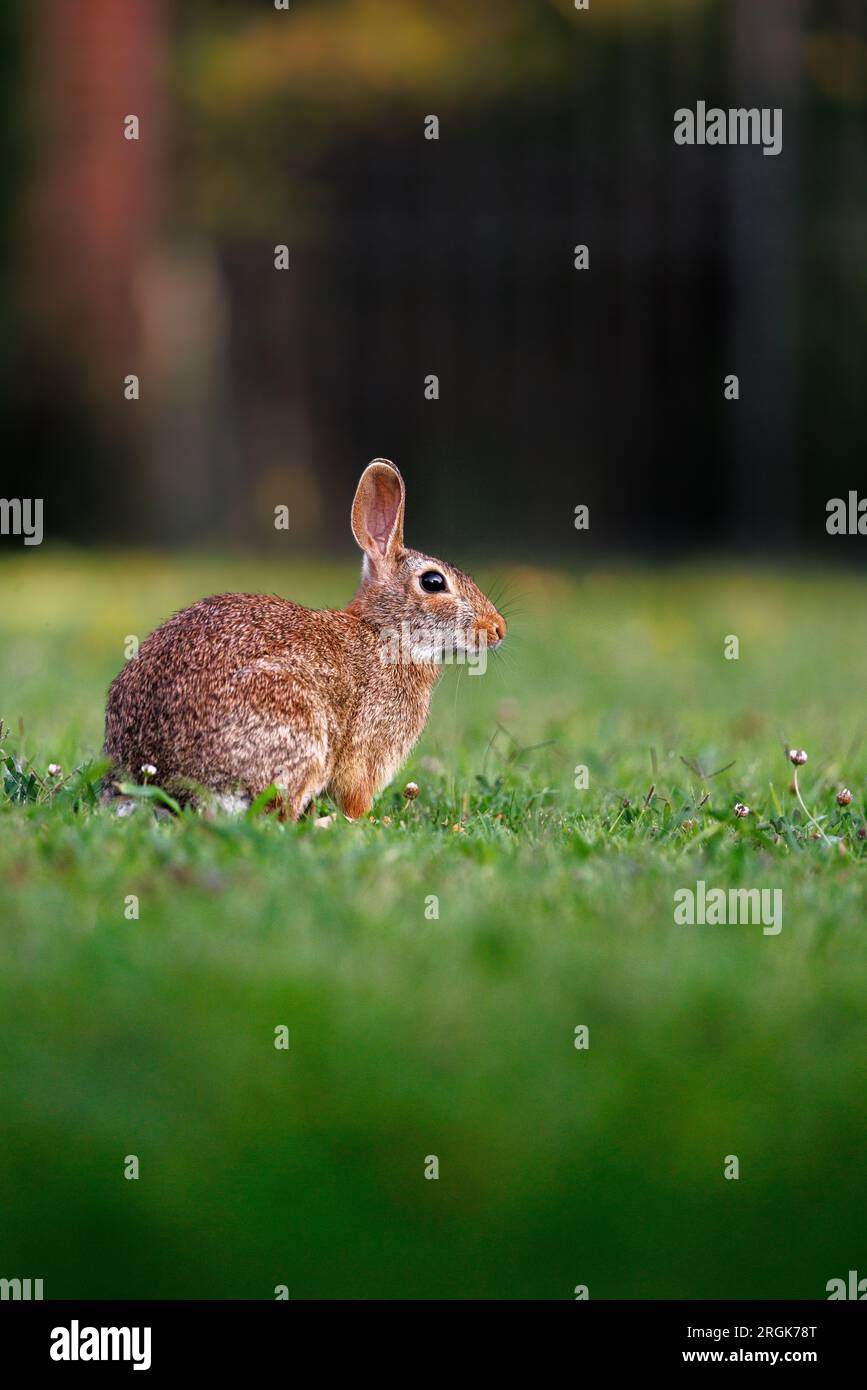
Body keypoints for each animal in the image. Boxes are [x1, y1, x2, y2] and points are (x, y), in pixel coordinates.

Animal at [103, 459, 507, 821]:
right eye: (433, 582)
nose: (498, 628)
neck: (386, 631)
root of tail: (157, 775)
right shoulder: (367, 749)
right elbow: (355, 797)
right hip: (295, 724)